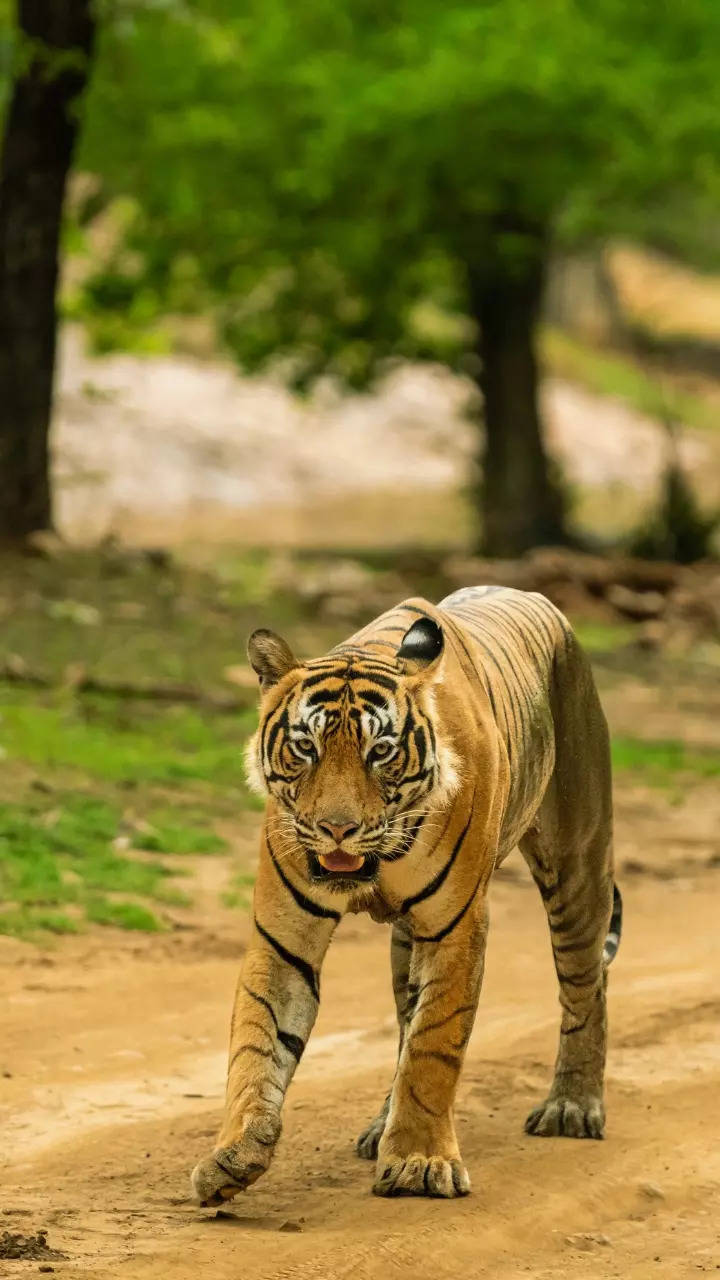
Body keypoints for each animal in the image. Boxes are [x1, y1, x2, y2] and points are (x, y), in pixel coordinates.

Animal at [191, 585, 622, 1203]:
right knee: (403, 1017)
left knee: (587, 987)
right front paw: (234, 1154)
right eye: (305, 747)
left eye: (381, 751)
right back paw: (380, 1125)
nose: (337, 828)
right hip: (407, 939)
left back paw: (573, 1106)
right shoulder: (283, 937)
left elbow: (433, 1045)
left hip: (578, 859)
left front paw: (419, 1161)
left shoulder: (457, 927)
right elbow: (257, 1042)